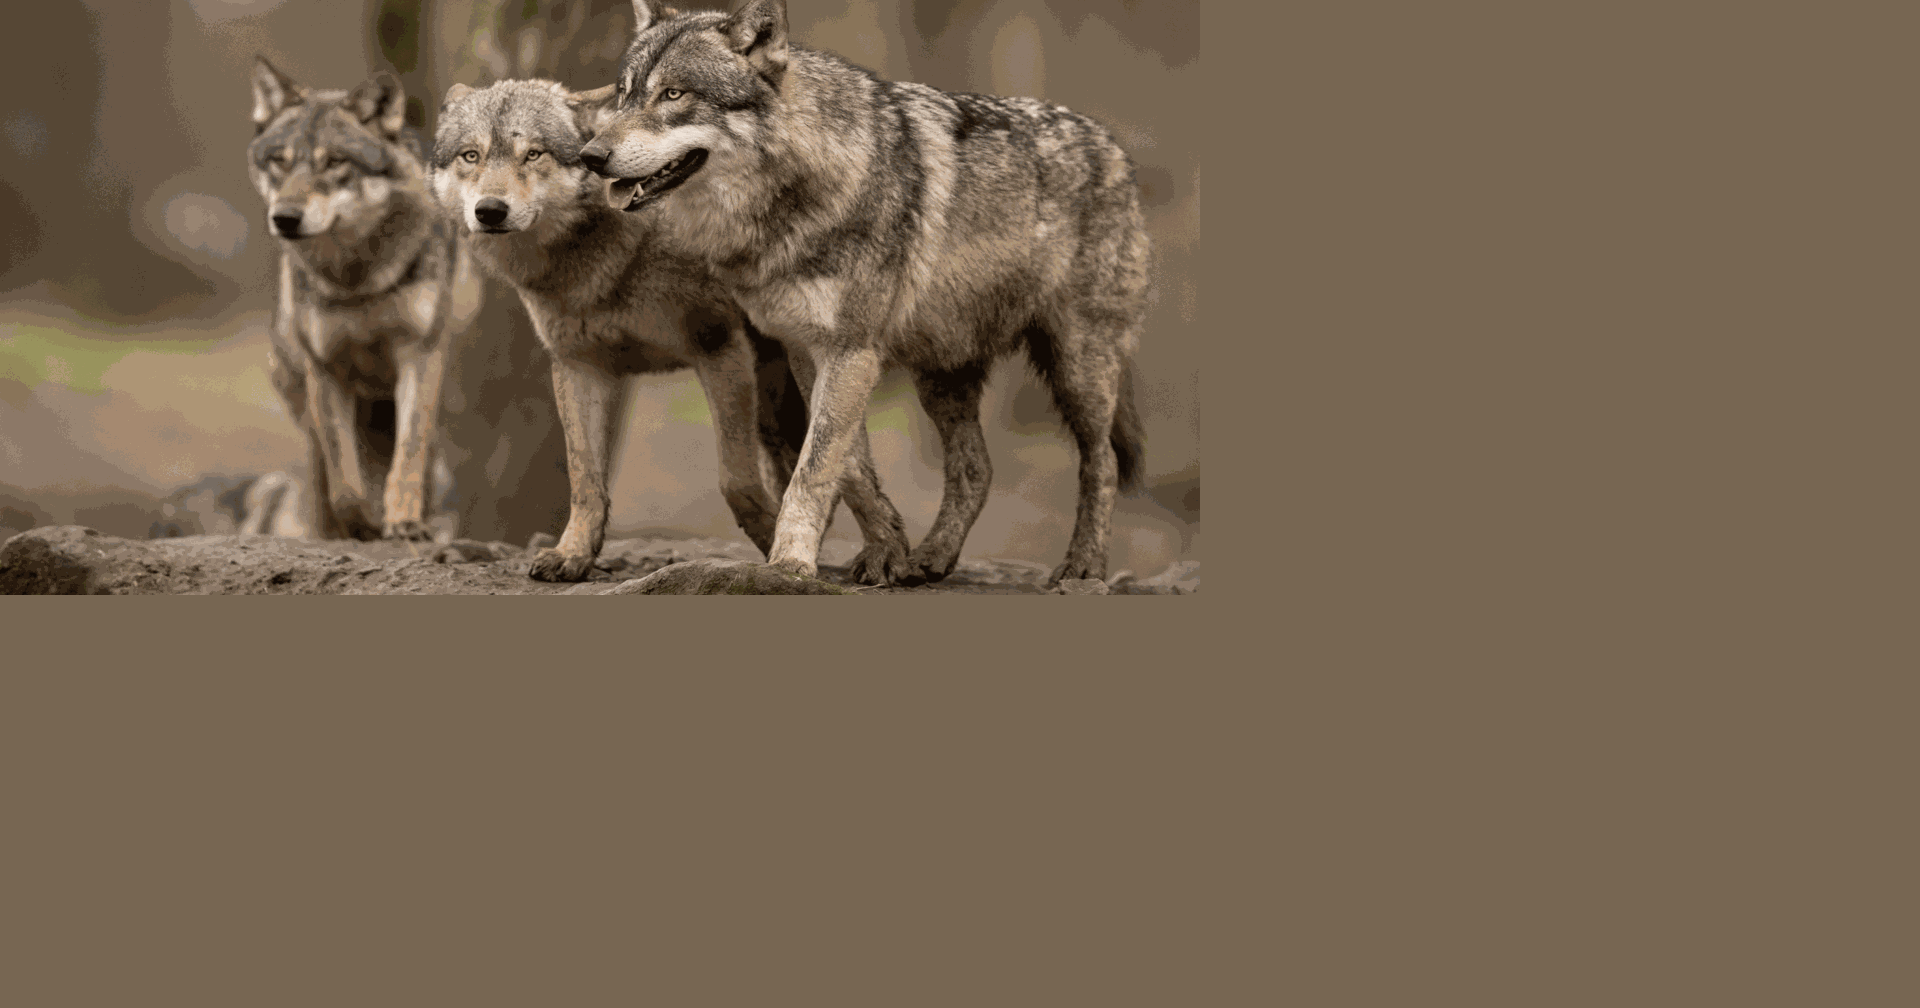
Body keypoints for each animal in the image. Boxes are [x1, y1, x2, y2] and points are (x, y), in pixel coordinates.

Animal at [247, 58, 480, 540]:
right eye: (279, 161)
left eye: (335, 162)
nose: (285, 218)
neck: (358, 279)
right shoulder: (325, 368)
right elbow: (345, 485)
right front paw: (361, 527)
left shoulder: (419, 355)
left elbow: (408, 458)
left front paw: (404, 522)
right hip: (303, 393)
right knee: (320, 472)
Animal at [429, 77, 910, 582]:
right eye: (470, 156)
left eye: (534, 154)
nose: (490, 210)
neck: (606, 258)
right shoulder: (579, 367)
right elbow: (585, 480)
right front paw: (573, 553)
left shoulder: (719, 350)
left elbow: (736, 481)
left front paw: (773, 551)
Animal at [581, 0, 1150, 586]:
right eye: (624, 94)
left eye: (674, 95)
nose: (589, 156)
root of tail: (1113, 148)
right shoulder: (809, 350)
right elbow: (848, 466)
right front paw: (887, 550)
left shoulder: (851, 352)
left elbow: (814, 469)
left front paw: (790, 564)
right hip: (943, 375)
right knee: (977, 468)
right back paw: (932, 557)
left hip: (1077, 367)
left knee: (1102, 461)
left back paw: (1083, 565)